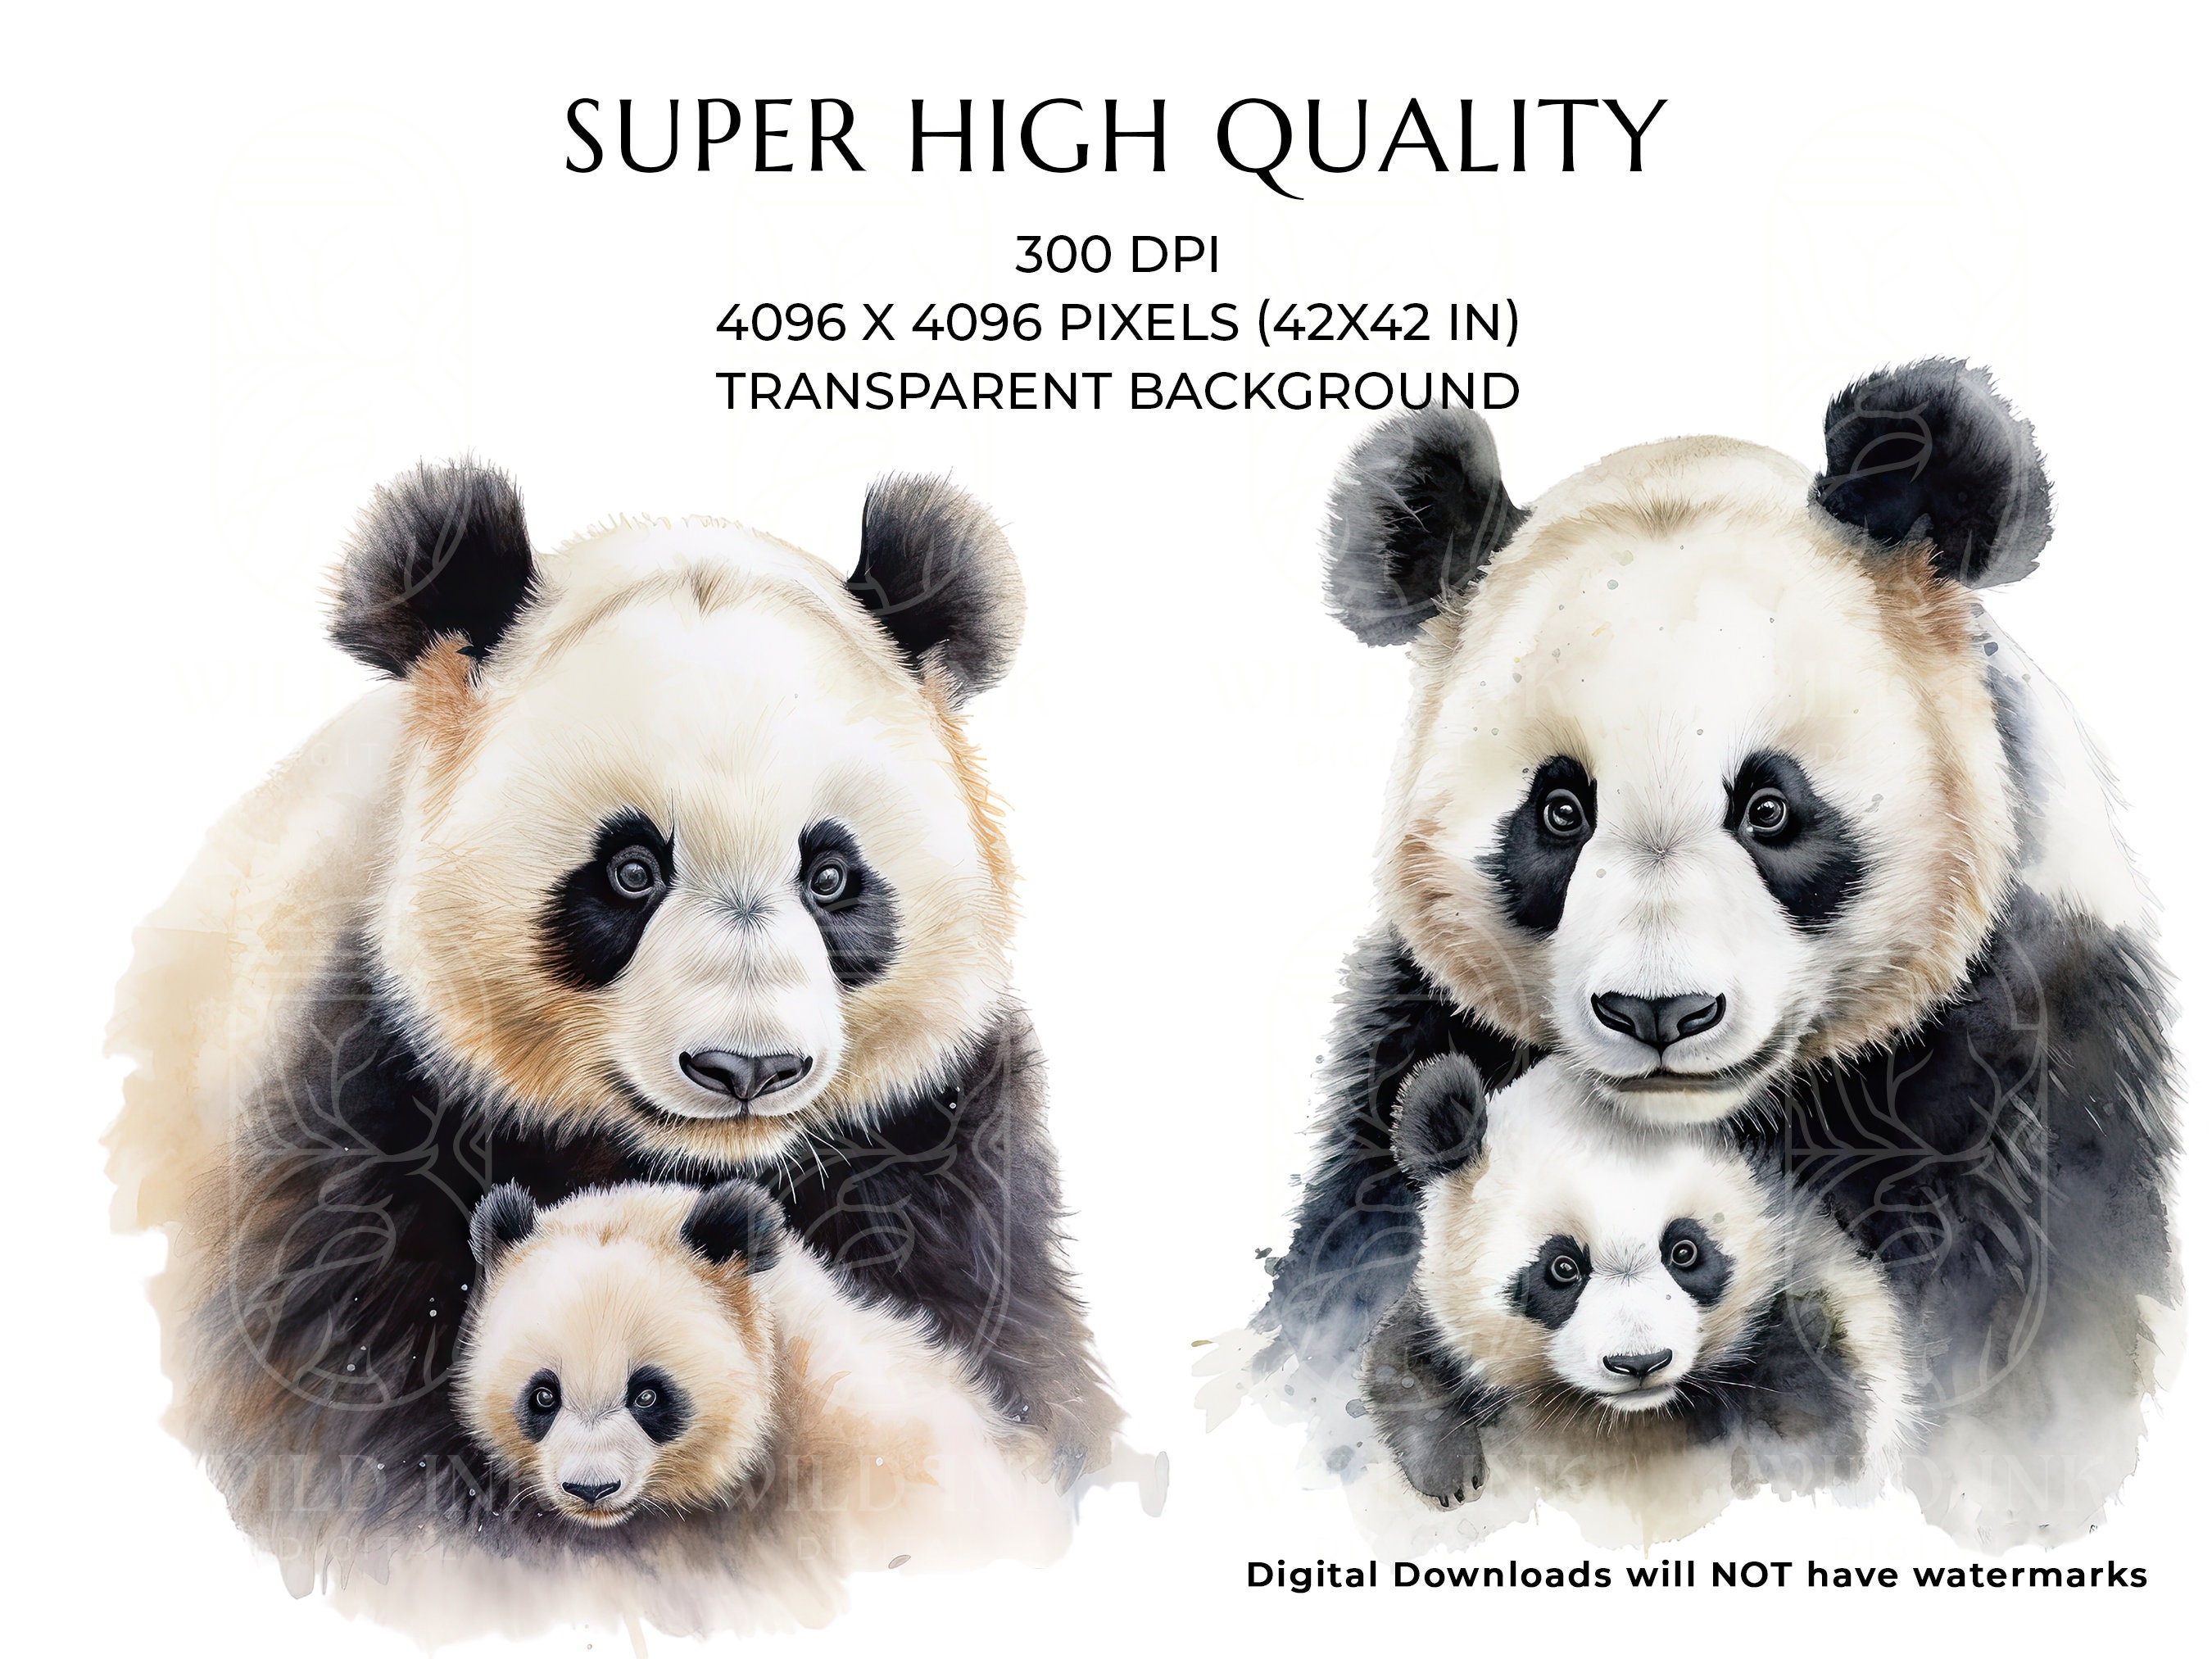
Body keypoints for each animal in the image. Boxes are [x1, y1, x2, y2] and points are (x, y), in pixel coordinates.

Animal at [1359, 1055, 1912, 1539]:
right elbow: (1398, 1361)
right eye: (1562, 1269)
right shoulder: (1443, 1317)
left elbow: (1817, 1421)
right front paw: (1448, 1477)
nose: (1640, 1363)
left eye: (1685, 1252)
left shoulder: (1804, 1294)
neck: (1629, 1416)